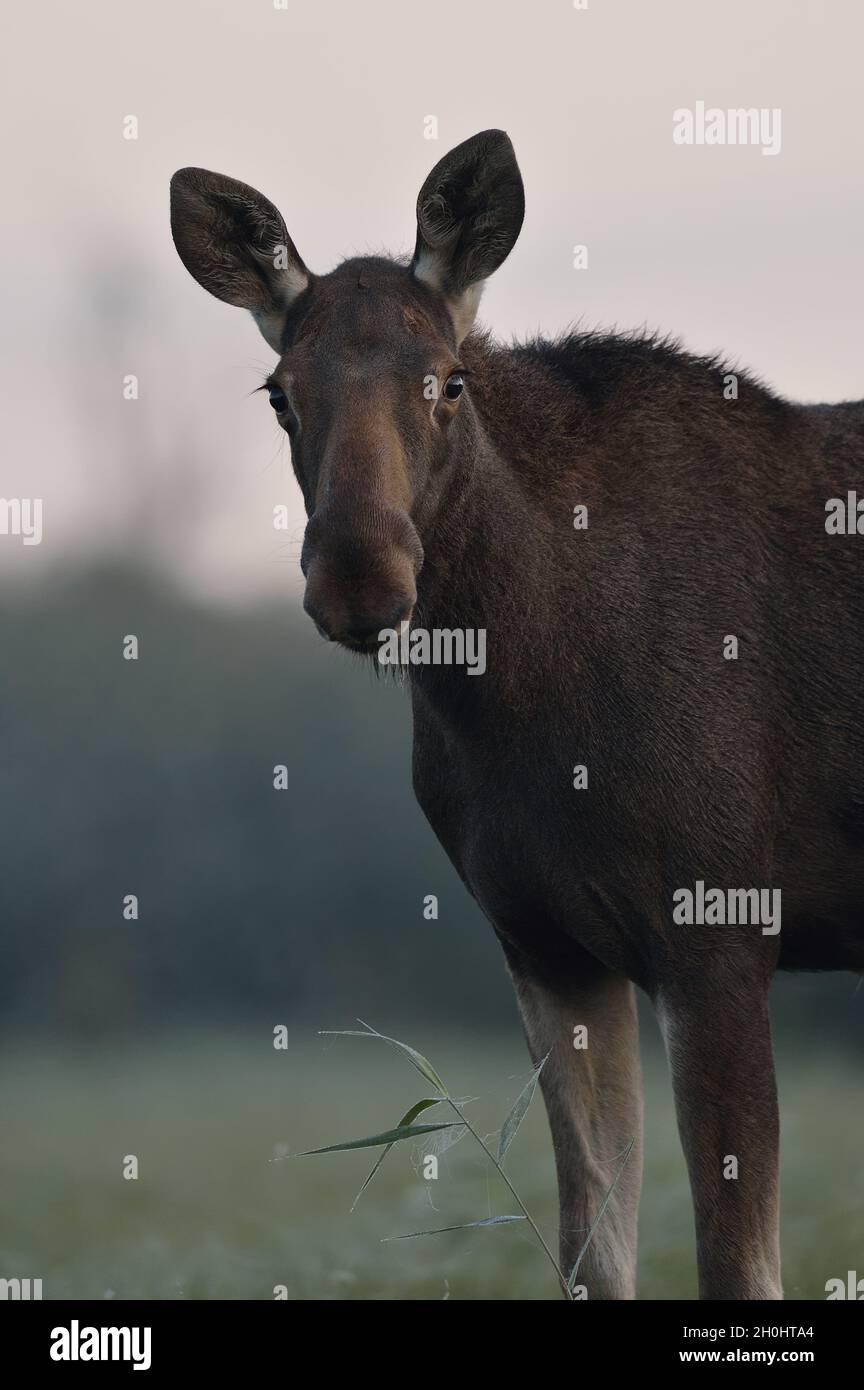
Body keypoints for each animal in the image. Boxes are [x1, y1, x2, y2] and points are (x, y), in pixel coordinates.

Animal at [171, 130, 864, 1300]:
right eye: (277, 393)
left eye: (447, 380)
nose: (359, 574)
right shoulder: (545, 944)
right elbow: (593, 1252)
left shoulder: (721, 929)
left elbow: (736, 1264)